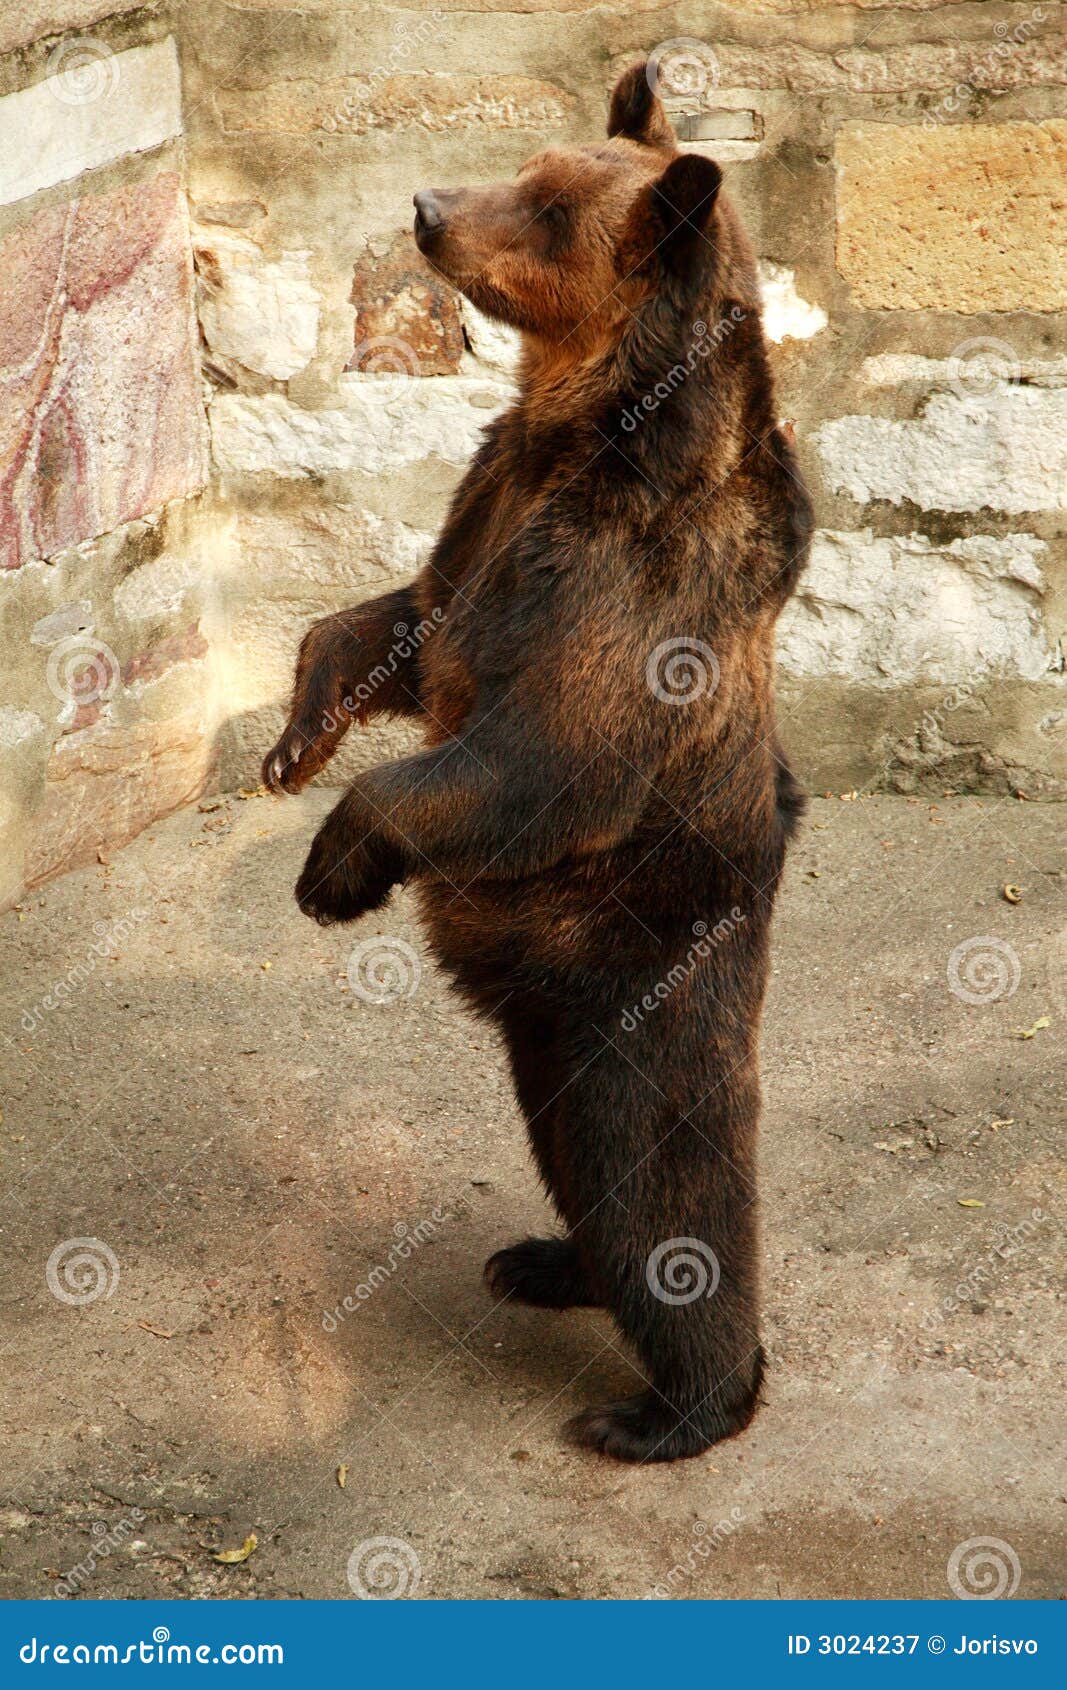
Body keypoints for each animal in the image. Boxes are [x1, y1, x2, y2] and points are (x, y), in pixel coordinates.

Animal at [262, 62, 812, 1463]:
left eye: (551, 209)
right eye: (529, 167)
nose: (426, 205)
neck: (581, 428)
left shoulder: (624, 589)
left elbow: (535, 756)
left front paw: (331, 870)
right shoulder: (486, 507)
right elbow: (393, 622)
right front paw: (293, 740)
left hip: (635, 994)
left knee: (656, 1190)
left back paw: (666, 1407)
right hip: (547, 1032)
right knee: (568, 1162)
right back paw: (542, 1258)